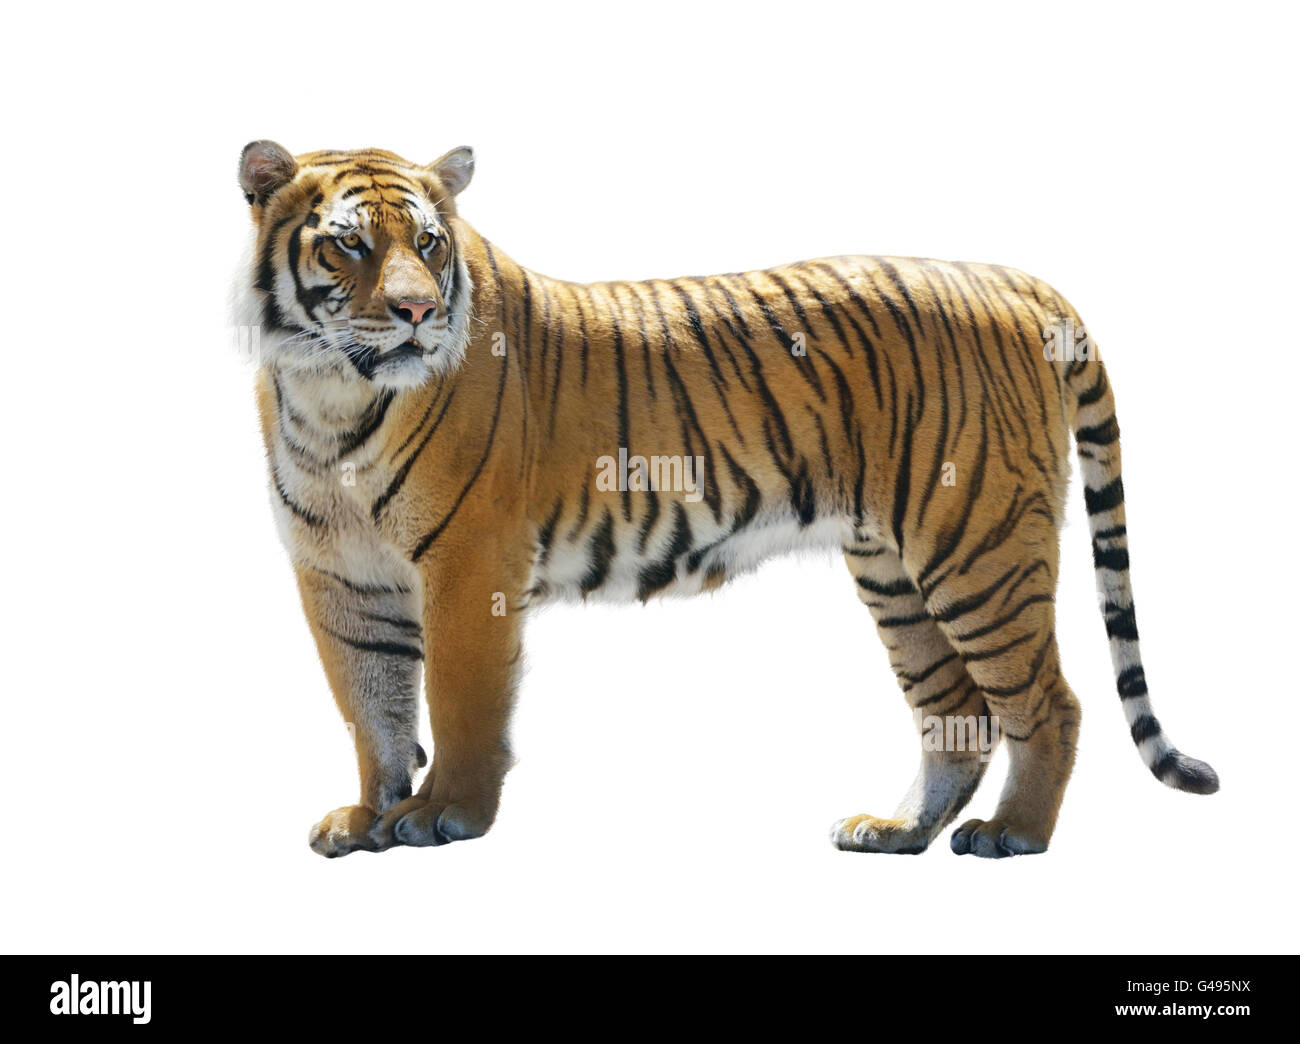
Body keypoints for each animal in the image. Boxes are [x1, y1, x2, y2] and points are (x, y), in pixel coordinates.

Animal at [234, 140, 1218, 860]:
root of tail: (1016, 280)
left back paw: (1013, 834)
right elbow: (372, 707)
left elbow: (456, 699)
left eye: (429, 244)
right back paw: (900, 832)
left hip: (979, 548)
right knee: (958, 712)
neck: (329, 393)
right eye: (350, 243)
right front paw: (368, 819)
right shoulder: (340, 577)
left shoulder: (469, 565)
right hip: (896, 568)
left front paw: (446, 815)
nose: (416, 313)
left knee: (1048, 701)